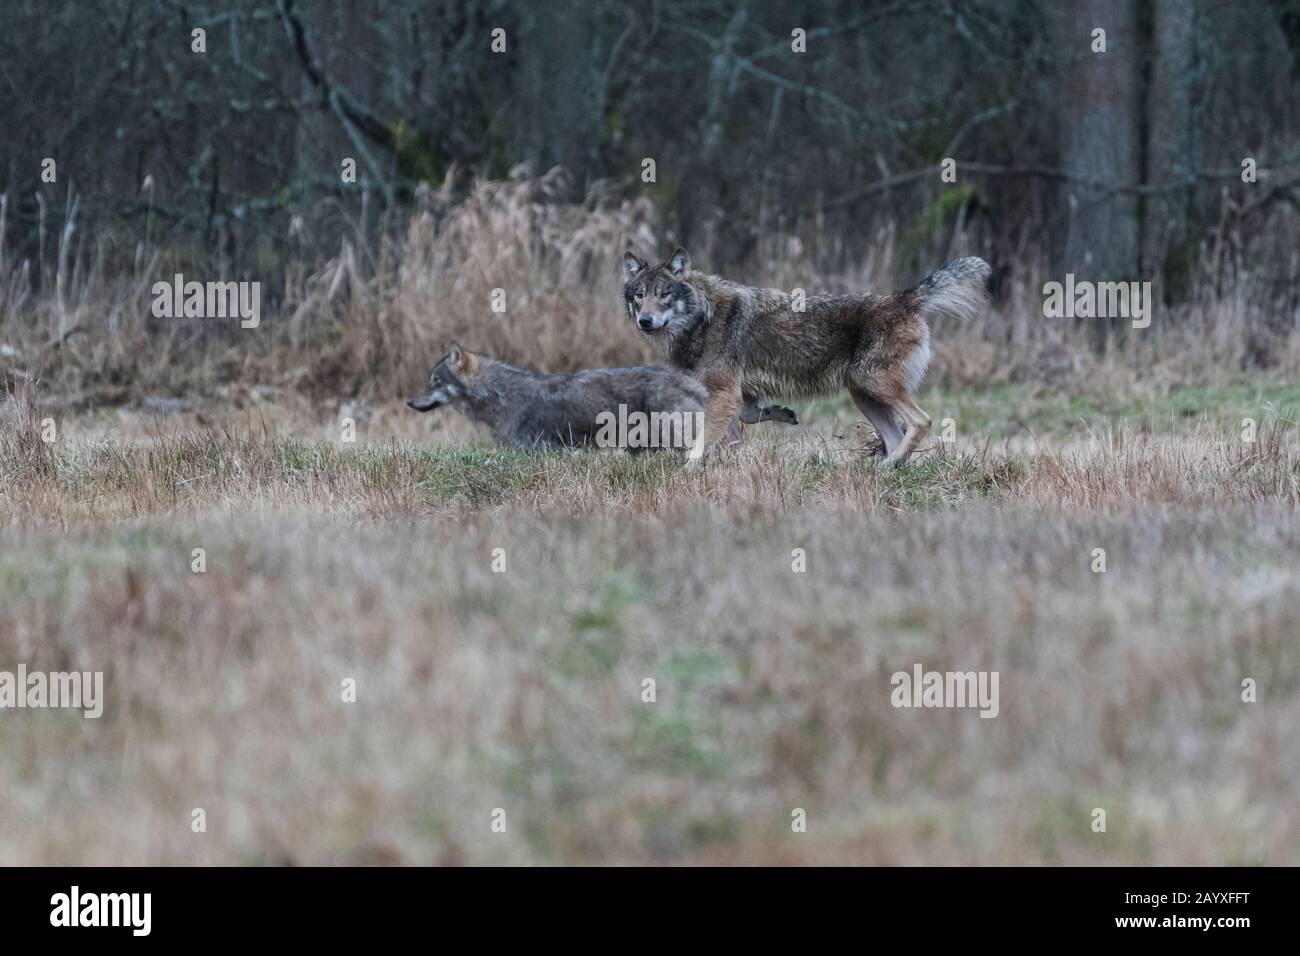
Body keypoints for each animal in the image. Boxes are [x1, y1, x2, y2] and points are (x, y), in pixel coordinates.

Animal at [622, 248, 993, 468]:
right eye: (639, 296)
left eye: (664, 295)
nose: (645, 321)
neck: (702, 317)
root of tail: (903, 298)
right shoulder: (738, 394)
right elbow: (751, 415)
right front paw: (782, 413)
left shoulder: (723, 394)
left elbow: (702, 442)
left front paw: (687, 471)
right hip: (863, 395)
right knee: (894, 436)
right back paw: (885, 469)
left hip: (874, 385)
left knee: (921, 421)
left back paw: (891, 465)